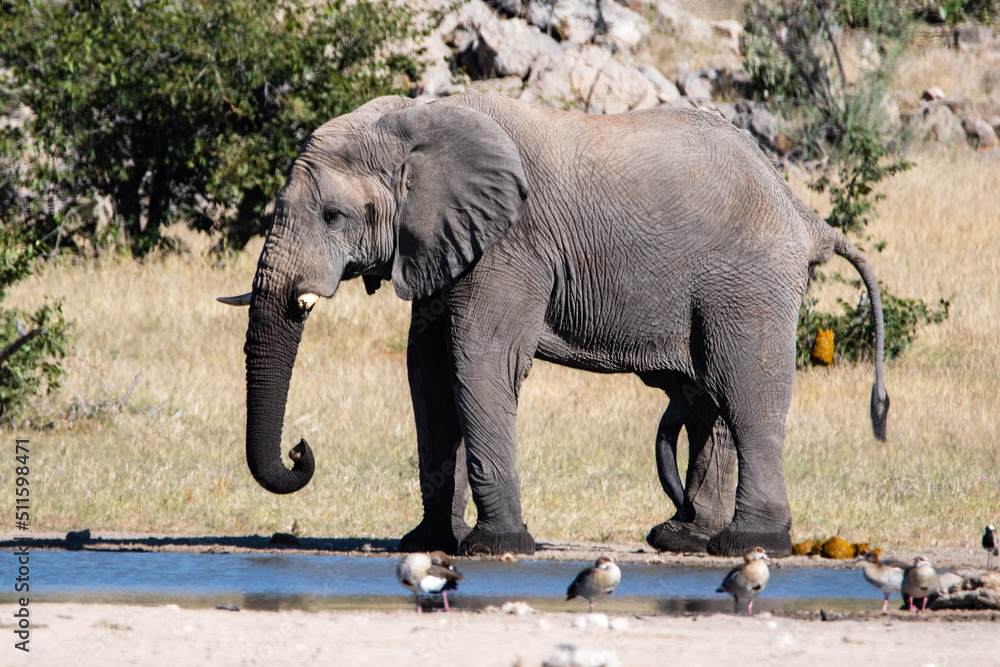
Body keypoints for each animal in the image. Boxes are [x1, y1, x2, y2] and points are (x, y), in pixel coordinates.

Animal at [219, 92, 889, 558]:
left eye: (334, 216)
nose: (301, 449)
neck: (418, 118)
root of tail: (802, 212)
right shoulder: (445, 245)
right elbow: (427, 371)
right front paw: (426, 544)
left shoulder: (512, 245)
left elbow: (478, 358)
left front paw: (496, 548)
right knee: (710, 403)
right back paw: (683, 539)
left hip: (750, 283)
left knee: (745, 392)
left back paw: (749, 545)